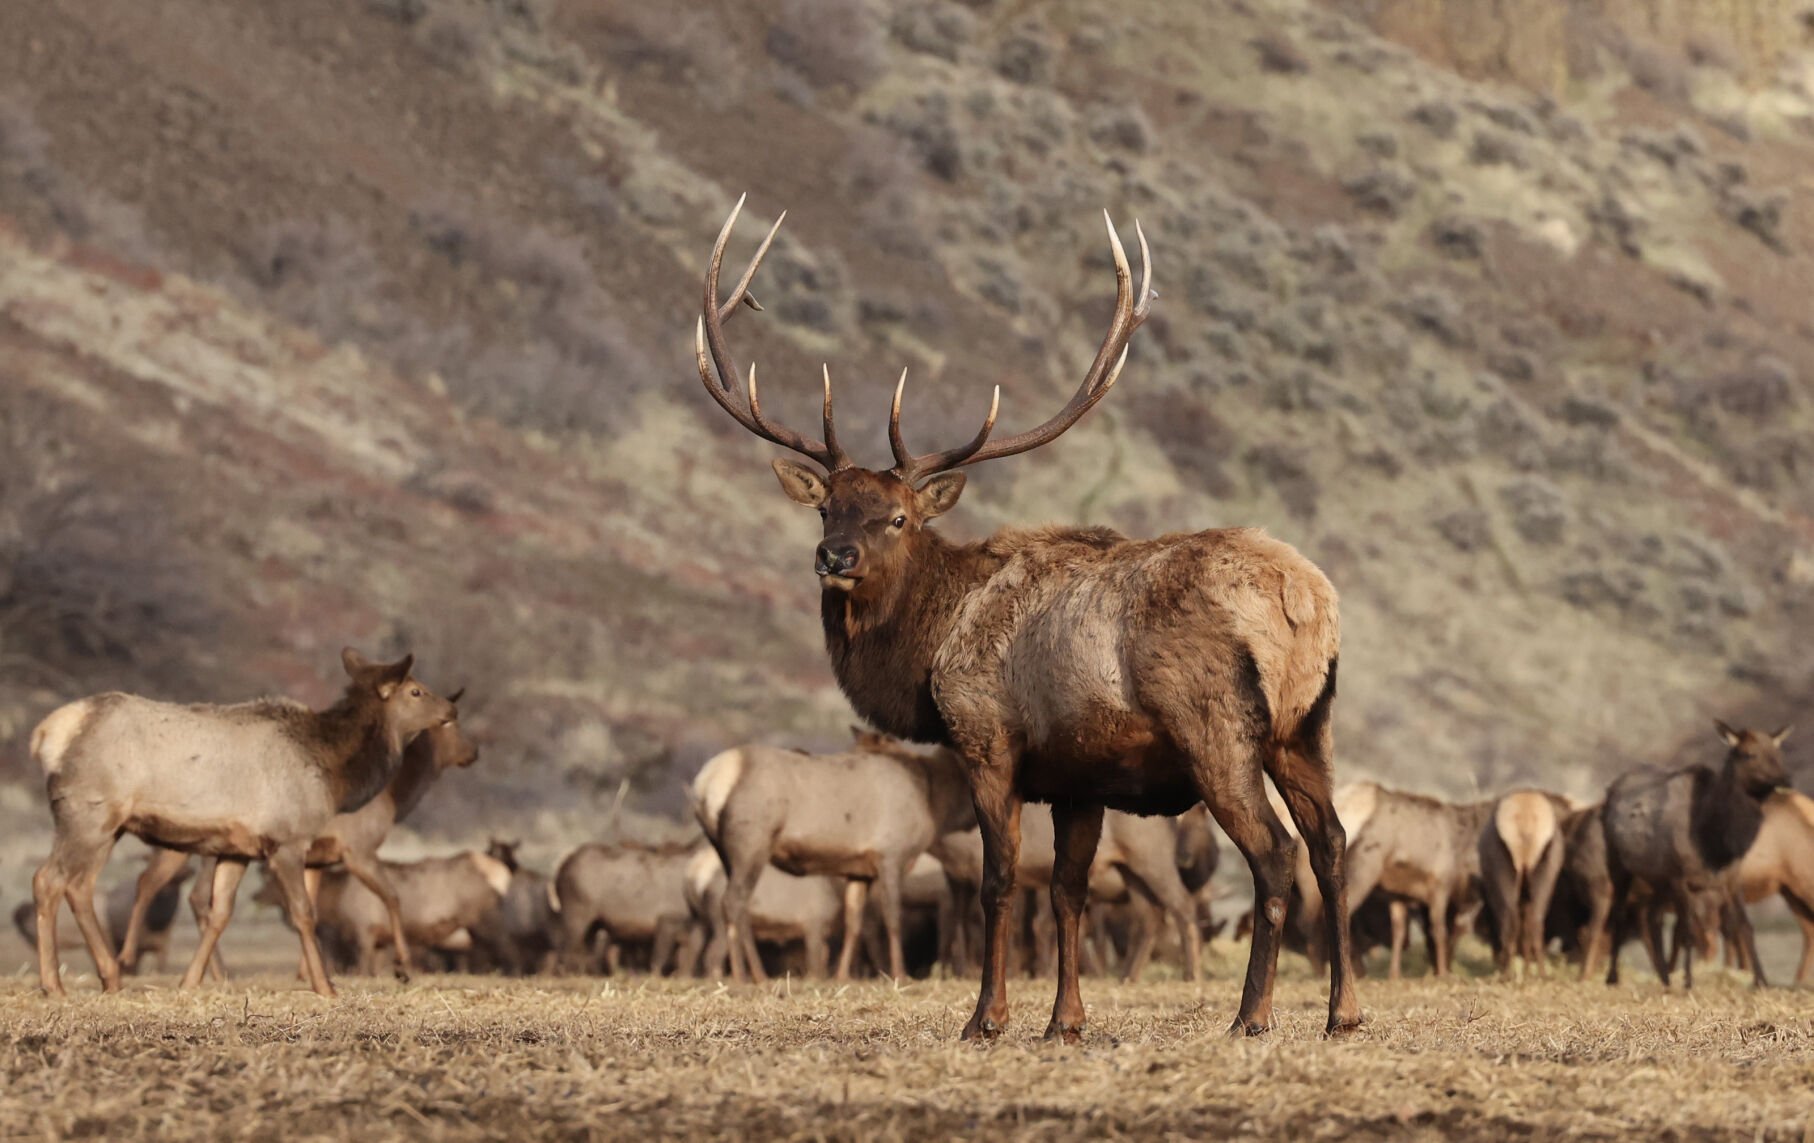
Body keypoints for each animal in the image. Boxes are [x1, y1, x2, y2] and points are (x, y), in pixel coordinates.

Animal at [116, 690, 479, 983]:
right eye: (451, 726)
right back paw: (143, 960)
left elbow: (311, 906)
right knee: (173, 888)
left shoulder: (317, 858)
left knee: (168, 886)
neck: (393, 800)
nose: (474, 752)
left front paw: (307, 972)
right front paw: (402, 967)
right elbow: (391, 897)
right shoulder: (359, 849)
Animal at [689, 730, 975, 982]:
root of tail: (706, 783)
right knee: (733, 902)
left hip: (724, 850)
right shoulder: (891, 855)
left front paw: (842, 976)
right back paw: (745, 975)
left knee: (742, 909)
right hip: (751, 843)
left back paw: (757, 975)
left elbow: (853, 922)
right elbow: (893, 918)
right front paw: (899, 974)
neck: (934, 804)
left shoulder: (859, 870)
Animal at [1599, 721, 1791, 989]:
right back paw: (1613, 977)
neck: (1716, 844)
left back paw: (1665, 977)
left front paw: (1761, 981)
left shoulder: (1731, 878)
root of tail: (1611, 788)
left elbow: (1746, 926)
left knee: (1652, 916)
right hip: (1619, 865)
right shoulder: (1680, 877)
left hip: (1658, 878)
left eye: (1777, 752)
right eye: (1748, 754)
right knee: (1619, 913)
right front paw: (1689, 980)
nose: (1786, 779)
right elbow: (1687, 932)